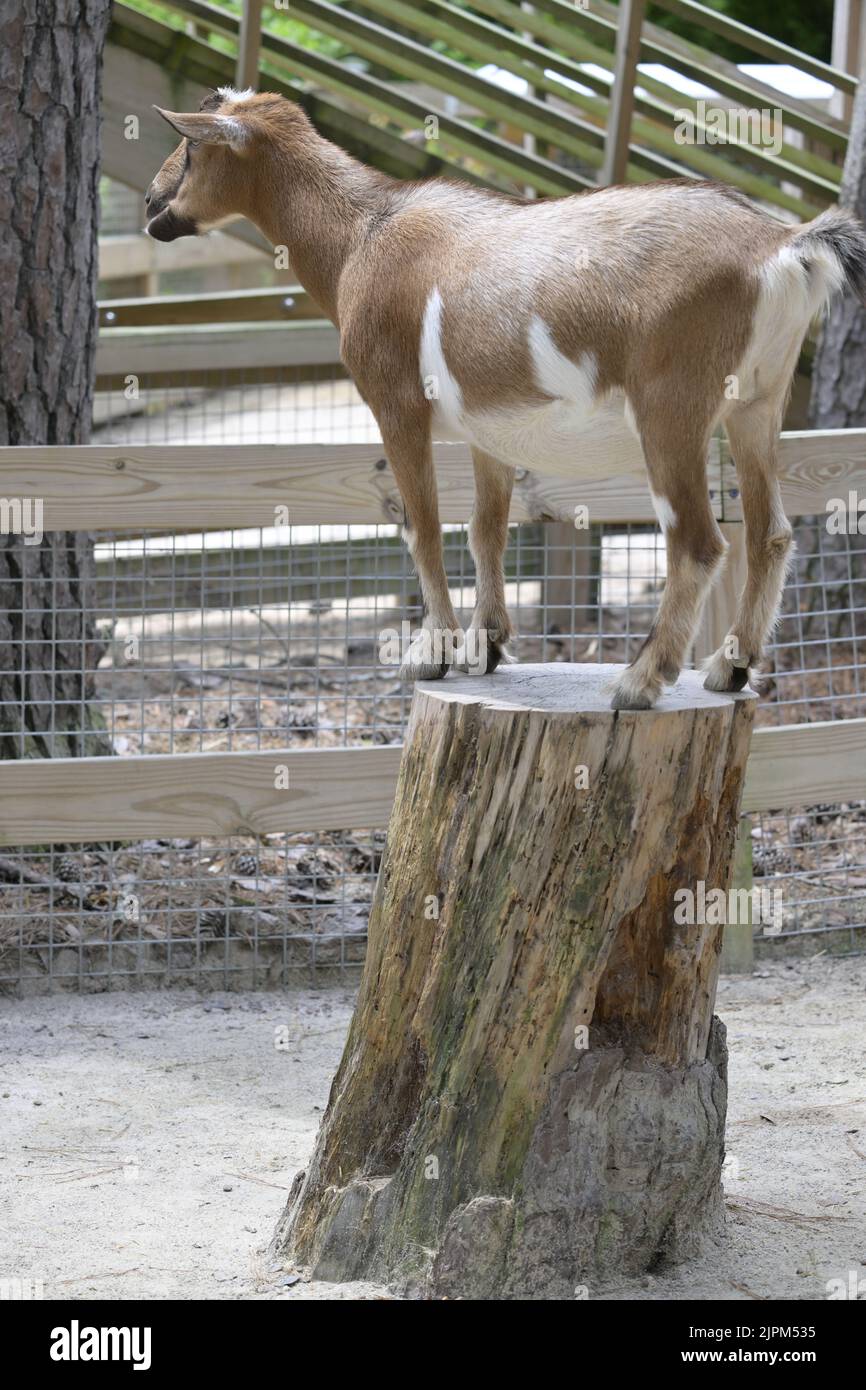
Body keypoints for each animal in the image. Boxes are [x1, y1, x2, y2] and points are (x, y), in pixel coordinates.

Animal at [145, 87, 866, 709]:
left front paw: (431, 654)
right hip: (757, 405)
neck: (362, 235)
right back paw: (728, 668)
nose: (153, 205)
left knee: (698, 541)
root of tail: (781, 246)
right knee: (771, 533)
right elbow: (485, 529)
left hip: (671, 411)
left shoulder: (395, 404)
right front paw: (484, 647)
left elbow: (422, 525)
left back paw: (640, 681)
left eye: (191, 147)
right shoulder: (486, 428)